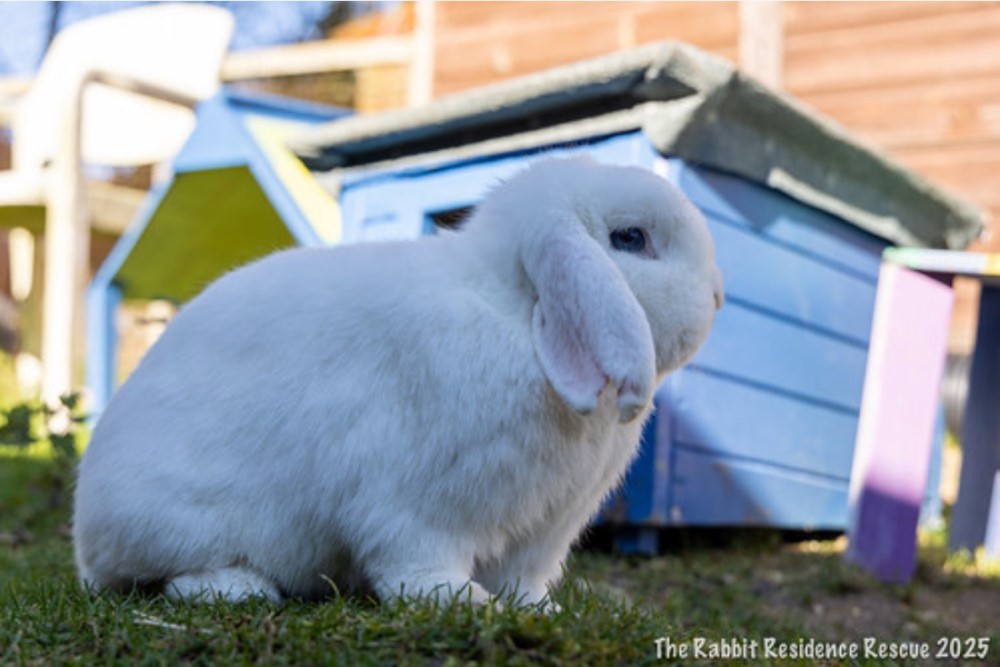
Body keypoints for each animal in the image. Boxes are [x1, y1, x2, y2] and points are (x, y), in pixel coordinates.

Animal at [73, 156, 724, 608]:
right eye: (631, 239)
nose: (719, 294)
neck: (518, 316)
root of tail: (87, 536)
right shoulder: (420, 508)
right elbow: (415, 564)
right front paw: (460, 603)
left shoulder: (542, 532)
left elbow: (523, 582)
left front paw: (538, 613)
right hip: (183, 524)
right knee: (169, 575)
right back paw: (239, 588)